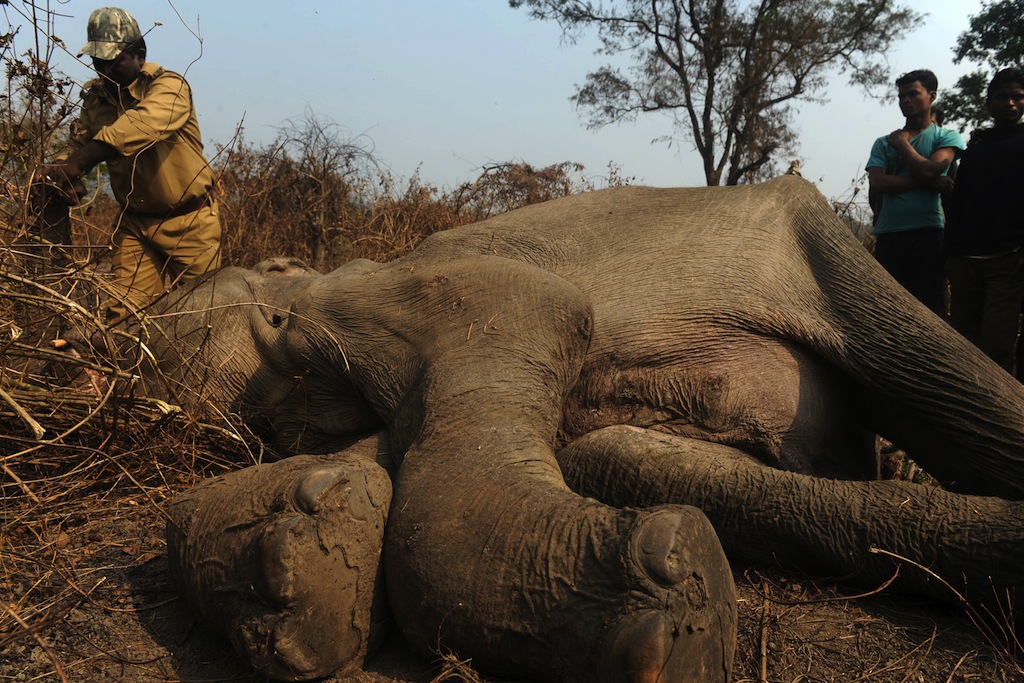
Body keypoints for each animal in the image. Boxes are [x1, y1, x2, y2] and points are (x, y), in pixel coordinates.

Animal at [148, 175, 1024, 682]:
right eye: (265, 420)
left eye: (280, 346)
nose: (290, 408)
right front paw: (301, 551)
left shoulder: (390, 291)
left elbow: (538, 305)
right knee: (620, 453)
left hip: (817, 249)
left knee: (934, 369)